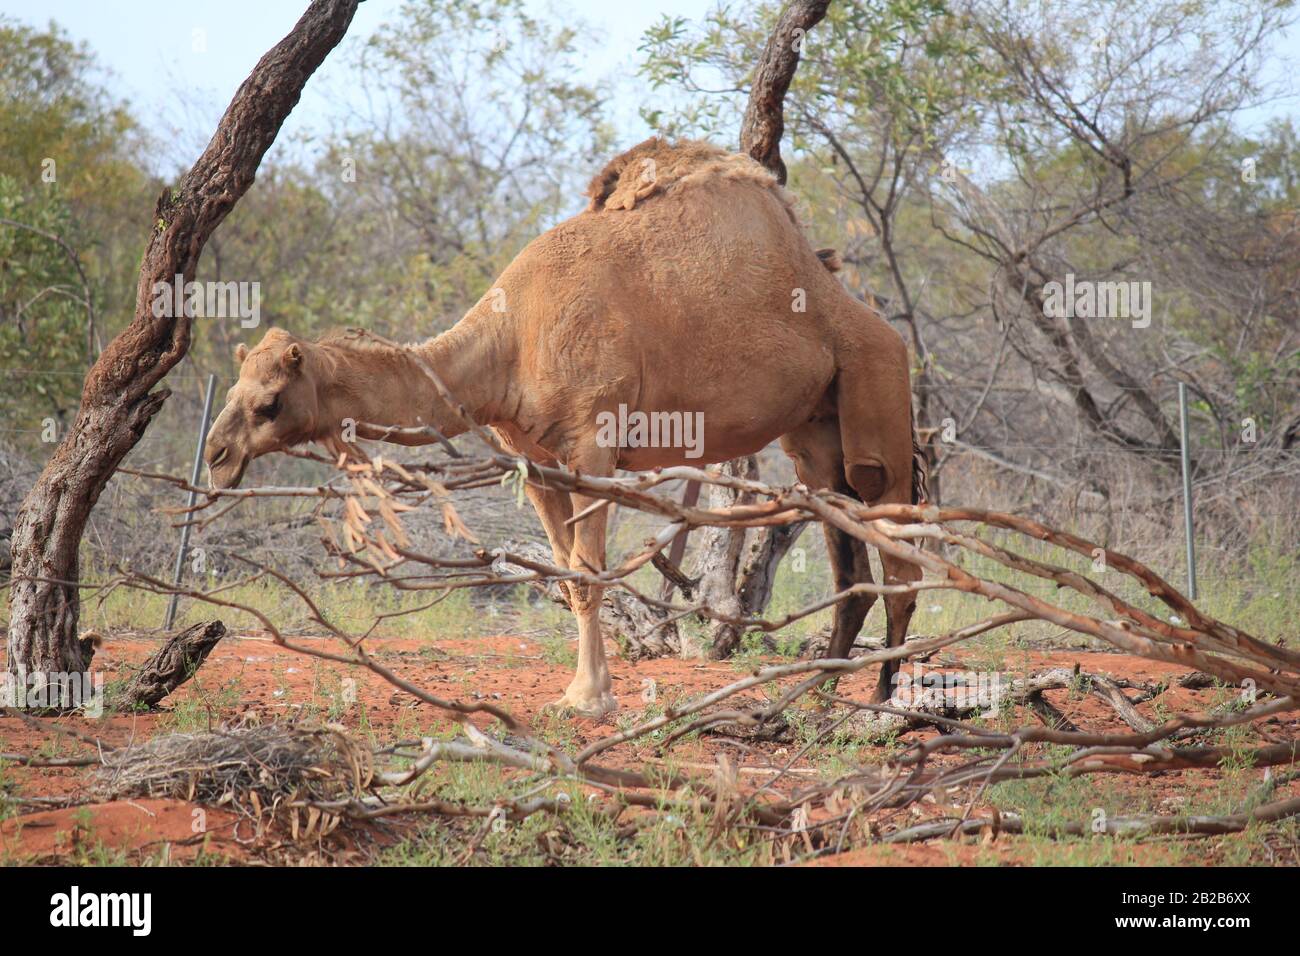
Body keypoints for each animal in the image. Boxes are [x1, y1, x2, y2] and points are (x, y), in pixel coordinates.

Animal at [203, 138, 927, 717]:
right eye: (236, 388)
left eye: (269, 401)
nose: (216, 456)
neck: (510, 337)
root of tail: (875, 324)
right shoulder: (538, 461)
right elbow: (567, 575)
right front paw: (581, 693)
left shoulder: (593, 445)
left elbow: (586, 573)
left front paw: (591, 699)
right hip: (814, 433)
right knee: (850, 564)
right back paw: (820, 692)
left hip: (877, 392)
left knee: (897, 549)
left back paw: (885, 701)